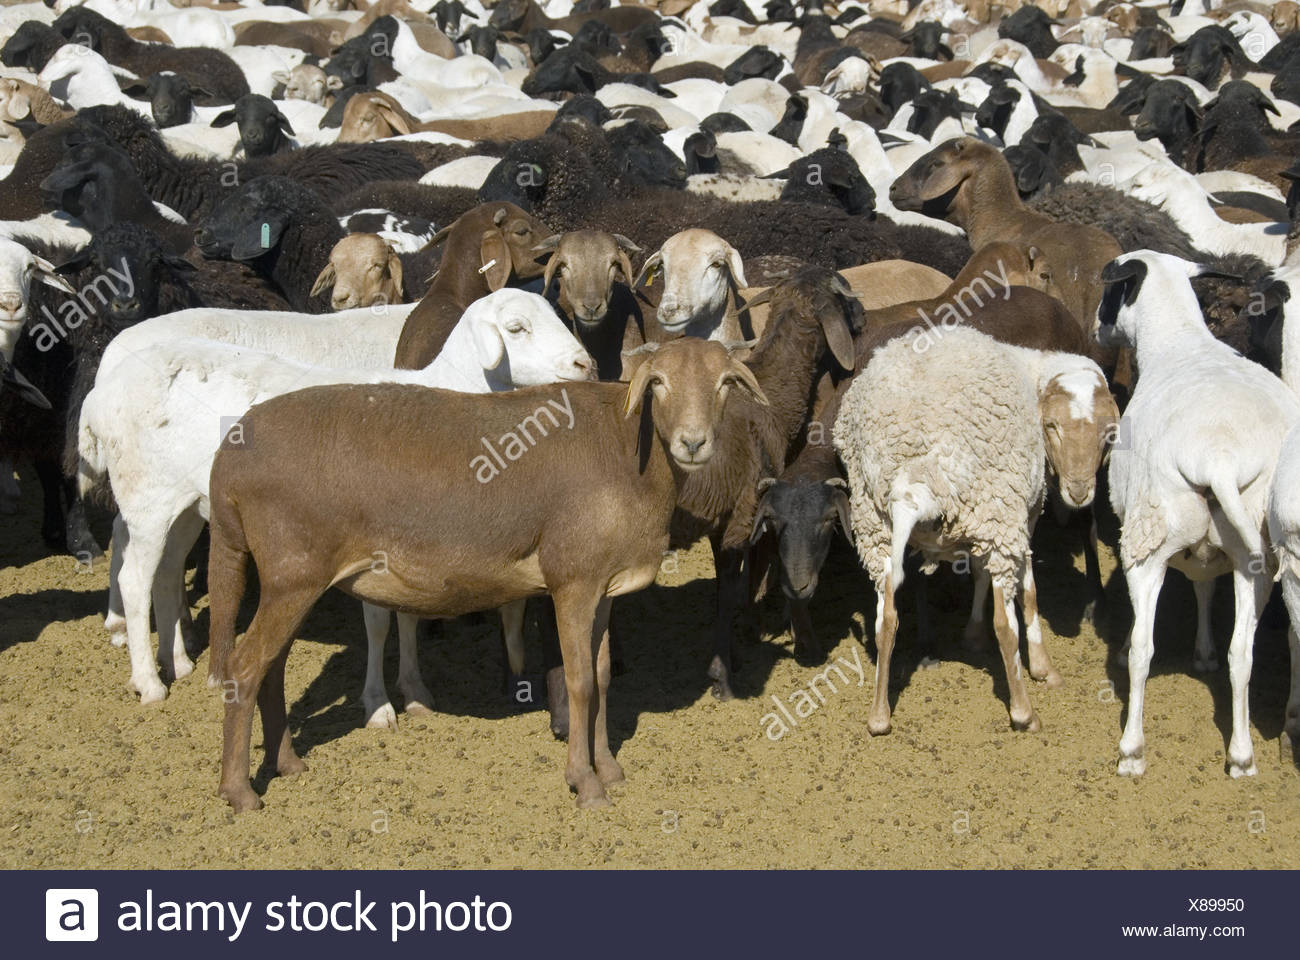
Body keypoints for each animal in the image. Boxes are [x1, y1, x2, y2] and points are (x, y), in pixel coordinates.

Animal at [78, 288, 593, 706]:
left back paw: (178, 661)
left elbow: (407, 617)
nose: (585, 365)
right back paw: (148, 680)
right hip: (145, 495)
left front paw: (414, 688)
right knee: (134, 579)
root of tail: (102, 389)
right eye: (516, 328)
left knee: (165, 572)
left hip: (183, 502)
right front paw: (379, 705)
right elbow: (379, 622)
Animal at [205, 334, 759, 811]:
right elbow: (580, 682)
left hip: (290, 580)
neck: (631, 454)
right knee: (245, 667)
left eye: (725, 383)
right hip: (293, 574)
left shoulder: (604, 588)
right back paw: (239, 792)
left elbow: (602, 679)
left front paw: (609, 769)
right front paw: (585, 784)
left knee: (271, 668)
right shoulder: (573, 581)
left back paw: (287, 763)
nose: (693, 443)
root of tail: (228, 456)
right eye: (658, 381)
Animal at [1095, 250, 1300, 778]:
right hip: (1258, 558)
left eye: (1110, 290)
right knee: (1245, 653)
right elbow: (1206, 585)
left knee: (1145, 649)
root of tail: (1218, 454)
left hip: (1147, 540)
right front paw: (1203, 653)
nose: (1095, 327)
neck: (1179, 338)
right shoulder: (1216, 550)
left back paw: (1132, 750)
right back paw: (1243, 755)